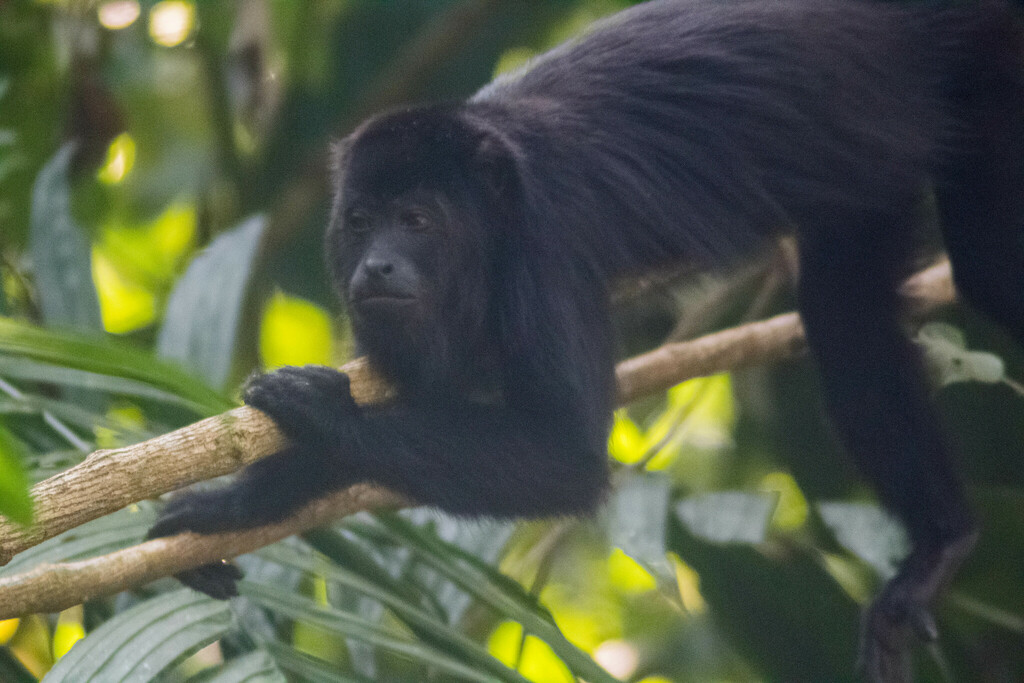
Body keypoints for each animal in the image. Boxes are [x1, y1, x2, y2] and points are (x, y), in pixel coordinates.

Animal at [148, 1, 1024, 680]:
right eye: (360, 220)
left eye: (417, 219)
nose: (375, 265)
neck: (490, 207)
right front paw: (239, 502)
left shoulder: (545, 251)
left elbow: (562, 457)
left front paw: (319, 412)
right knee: (845, 306)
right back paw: (944, 540)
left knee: (987, 270)